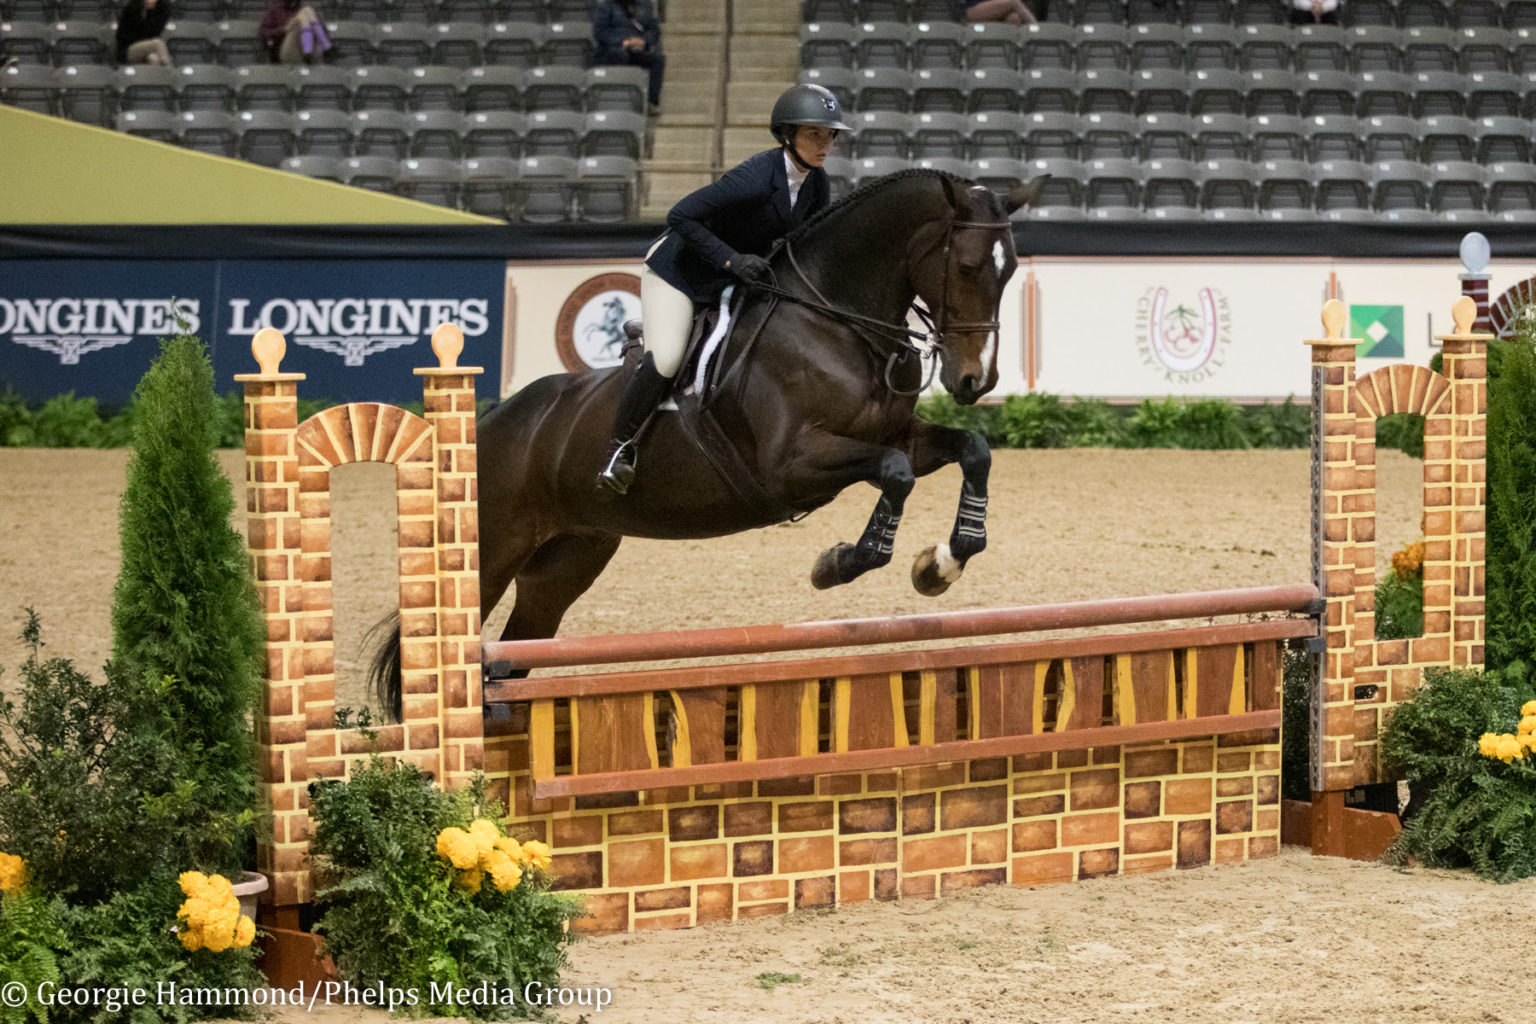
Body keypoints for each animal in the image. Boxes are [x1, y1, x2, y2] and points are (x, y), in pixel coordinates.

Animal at [372, 169, 1044, 719]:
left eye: (1010, 270)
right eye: (965, 266)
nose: (974, 380)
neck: (839, 322)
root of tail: (488, 422)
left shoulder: (892, 435)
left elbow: (971, 450)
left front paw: (943, 562)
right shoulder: (790, 465)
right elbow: (897, 472)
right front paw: (841, 563)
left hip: (567, 560)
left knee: (514, 652)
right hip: (490, 552)